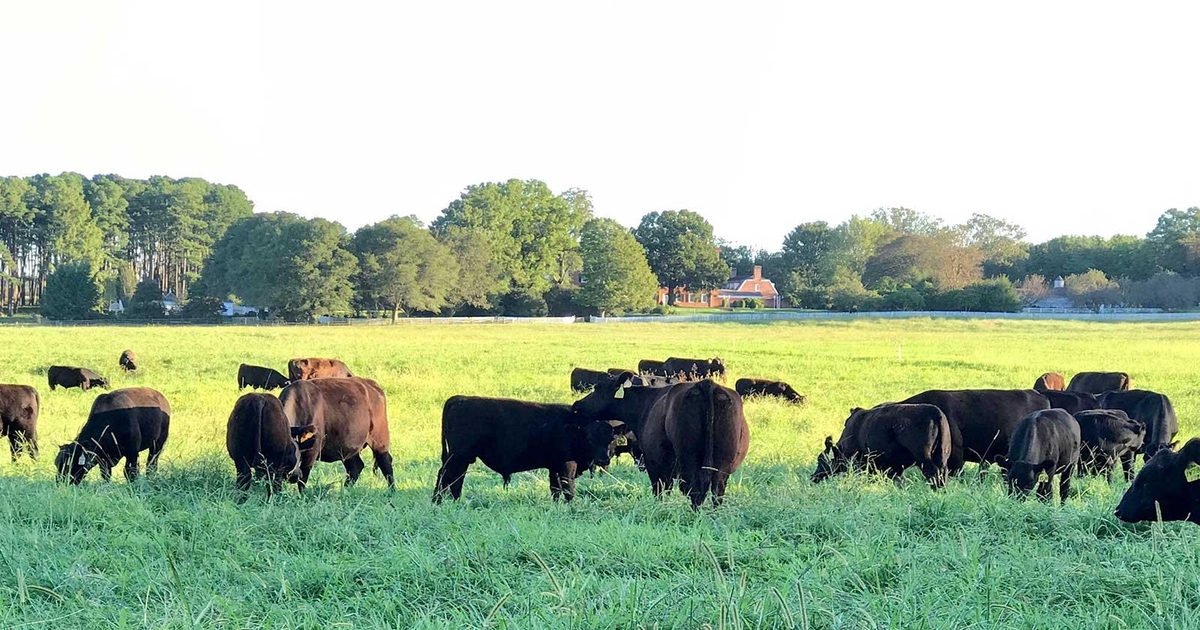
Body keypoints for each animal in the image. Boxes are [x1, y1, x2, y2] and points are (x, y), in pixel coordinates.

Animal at [433, 396, 623, 502]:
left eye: (612, 439)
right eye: (590, 439)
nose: (603, 459)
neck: (575, 427)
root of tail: (460, 399)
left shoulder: (554, 467)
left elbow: (555, 490)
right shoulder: (566, 466)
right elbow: (569, 489)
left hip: (461, 458)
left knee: (454, 478)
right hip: (458, 456)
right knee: (446, 476)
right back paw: (438, 501)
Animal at [573, 372, 750, 508]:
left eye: (598, 388)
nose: (577, 404)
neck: (644, 403)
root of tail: (706, 384)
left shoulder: (654, 464)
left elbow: (660, 490)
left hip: (689, 461)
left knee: (695, 491)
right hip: (721, 466)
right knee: (716, 492)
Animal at [812, 403, 950, 487]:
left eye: (821, 460)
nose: (813, 476)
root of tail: (934, 412)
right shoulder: (894, 468)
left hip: (924, 459)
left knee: (933, 473)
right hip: (942, 457)